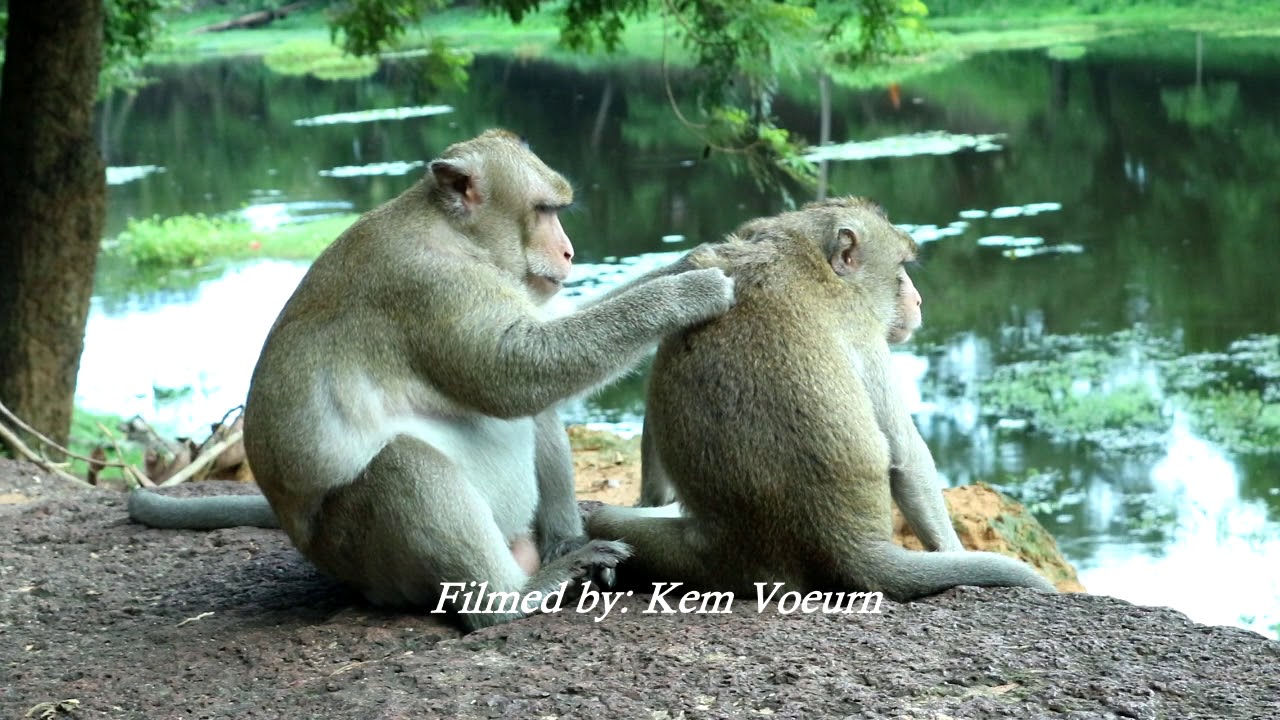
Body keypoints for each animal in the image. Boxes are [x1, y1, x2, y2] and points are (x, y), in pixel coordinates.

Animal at [127, 129, 737, 629]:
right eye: (544, 210)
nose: (568, 252)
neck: (456, 236)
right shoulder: (432, 288)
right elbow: (515, 371)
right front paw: (688, 292)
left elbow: (536, 361)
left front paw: (689, 261)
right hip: (364, 555)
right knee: (406, 463)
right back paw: (511, 599)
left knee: (538, 413)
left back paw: (563, 545)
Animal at [588, 197, 1056, 600]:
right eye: (901, 270)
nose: (918, 299)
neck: (807, 259)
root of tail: (848, 544)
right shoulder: (866, 333)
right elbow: (908, 457)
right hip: (713, 561)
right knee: (604, 520)